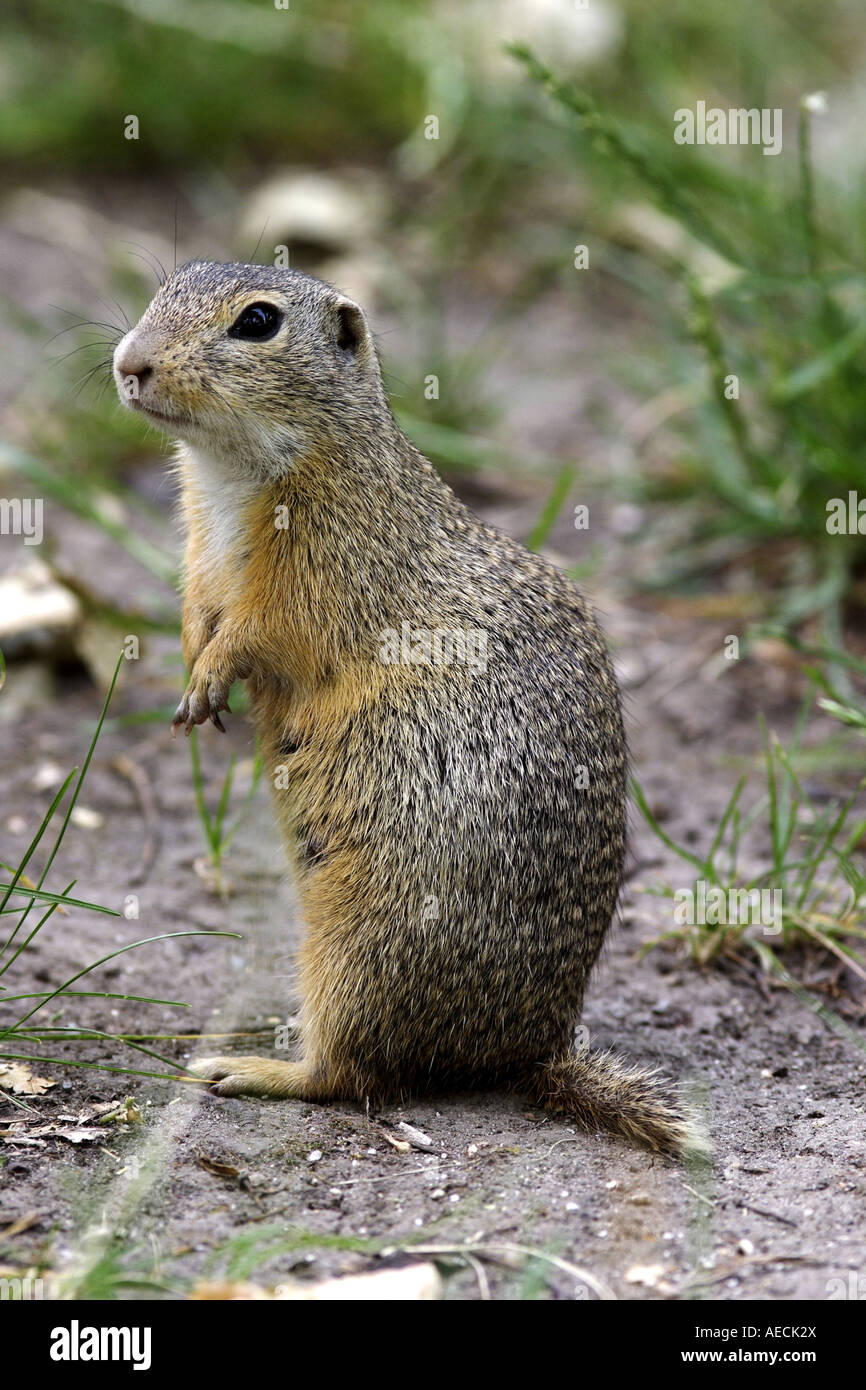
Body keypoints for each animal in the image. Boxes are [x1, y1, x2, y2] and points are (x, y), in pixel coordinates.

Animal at [112, 259, 703, 1157]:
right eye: (166, 284)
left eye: (258, 322)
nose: (130, 363)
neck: (231, 474)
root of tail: (530, 1051)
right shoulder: (198, 555)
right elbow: (197, 610)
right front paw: (191, 672)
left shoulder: (326, 564)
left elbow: (259, 631)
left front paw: (211, 675)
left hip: (362, 943)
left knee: (351, 1074)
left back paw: (252, 1069)